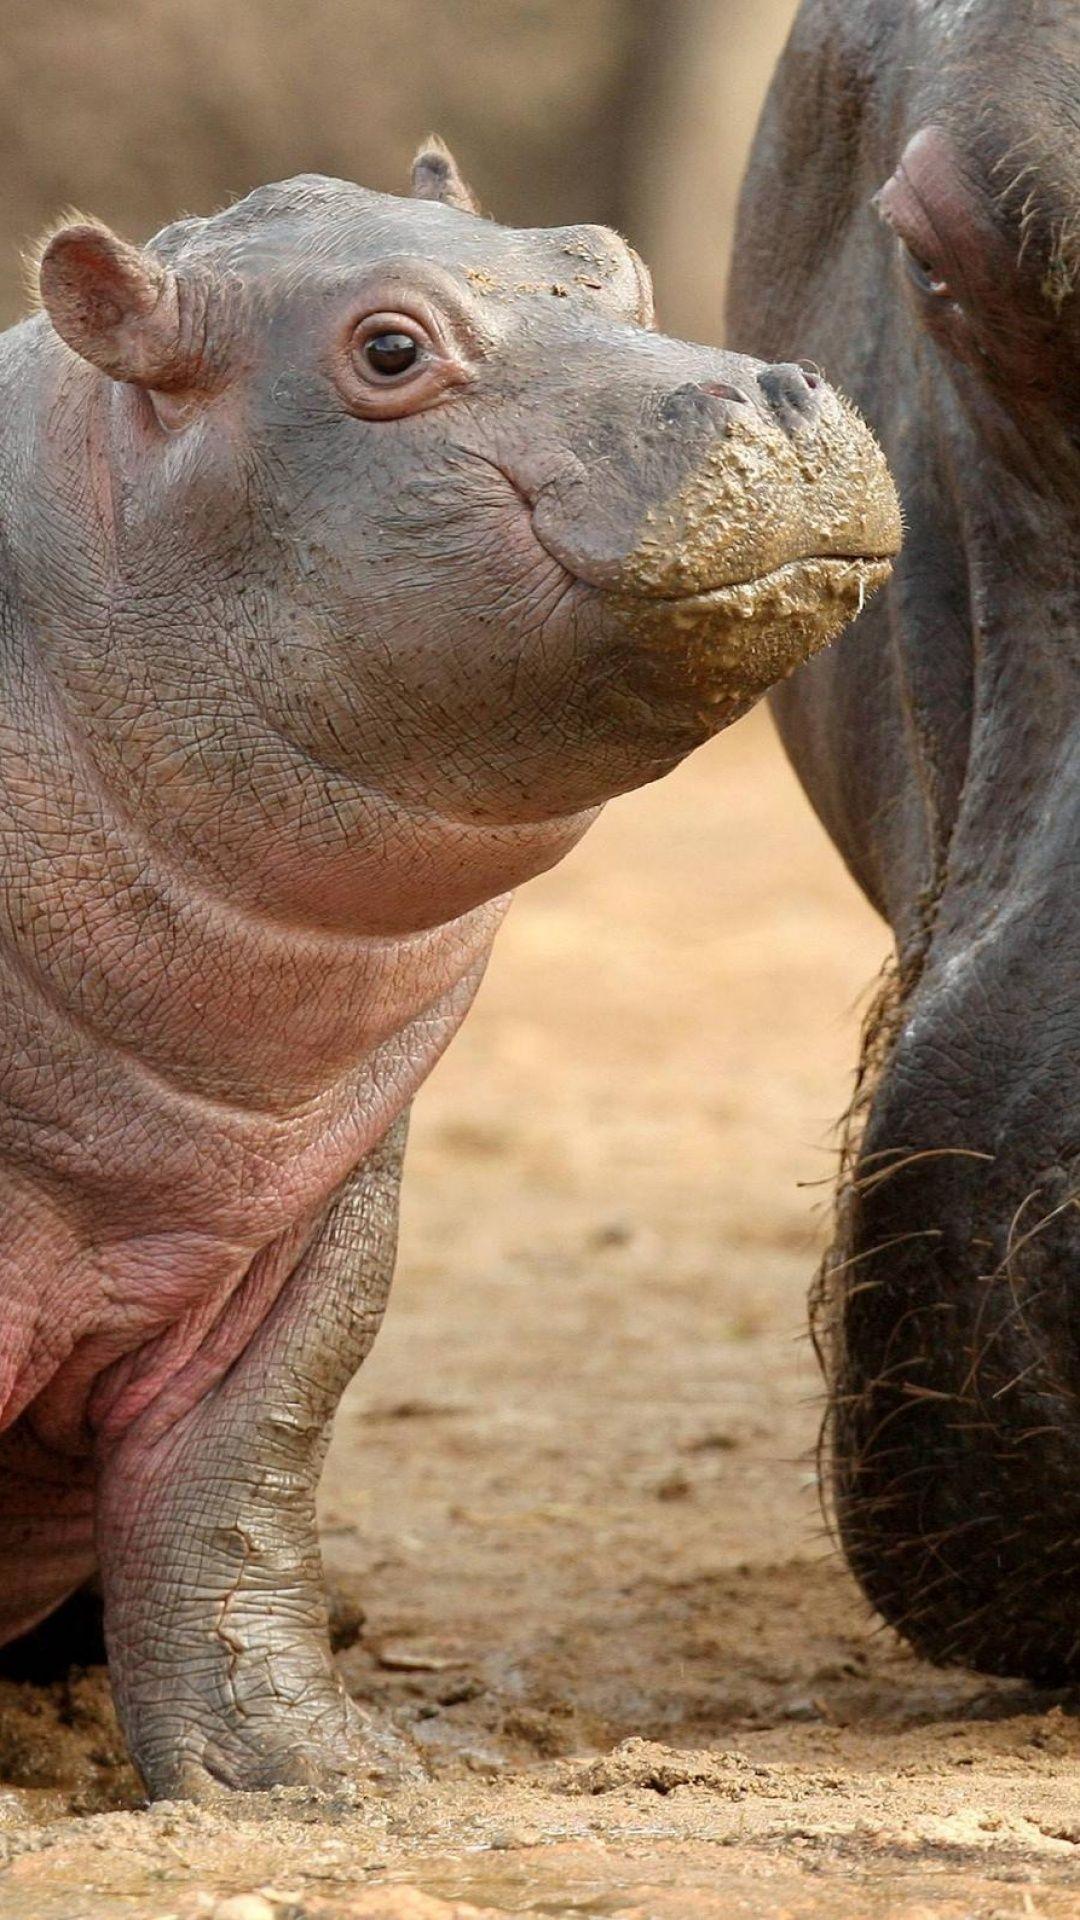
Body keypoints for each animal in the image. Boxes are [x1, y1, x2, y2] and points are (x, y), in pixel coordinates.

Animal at [0, 139, 898, 1798]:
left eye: (610, 260)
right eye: (389, 349)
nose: (779, 393)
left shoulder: (306, 1198)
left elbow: (246, 1460)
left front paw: (314, 1776)